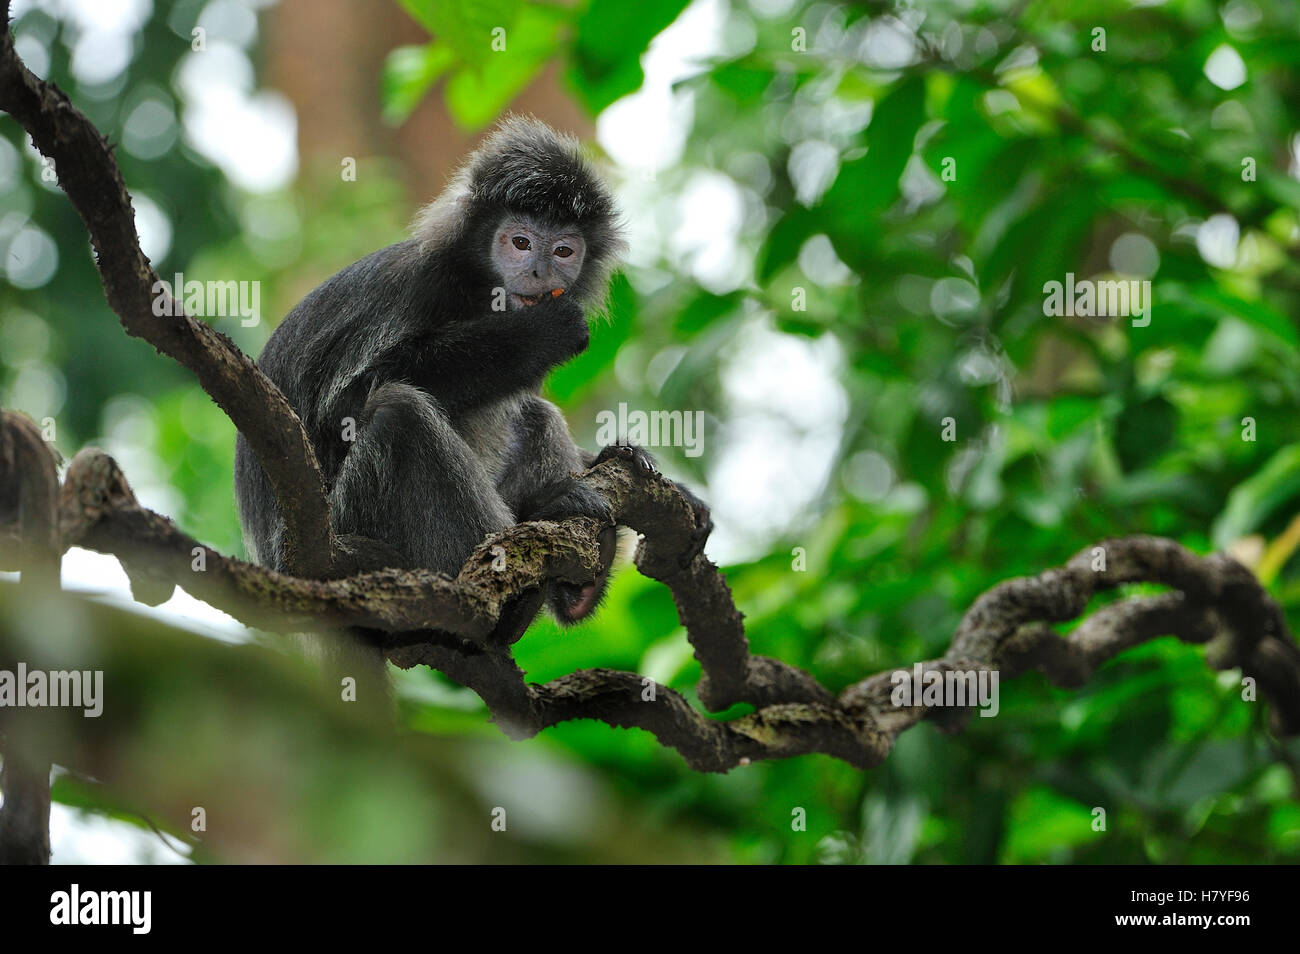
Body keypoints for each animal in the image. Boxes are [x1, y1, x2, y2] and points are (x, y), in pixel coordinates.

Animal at [233, 116, 711, 699]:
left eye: (564, 251)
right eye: (520, 242)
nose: (539, 273)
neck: (479, 290)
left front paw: (628, 461)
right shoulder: (420, 288)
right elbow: (339, 410)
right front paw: (540, 333)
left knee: (533, 413)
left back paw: (577, 573)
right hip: (350, 527)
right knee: (398, 414)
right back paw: (511, 593)